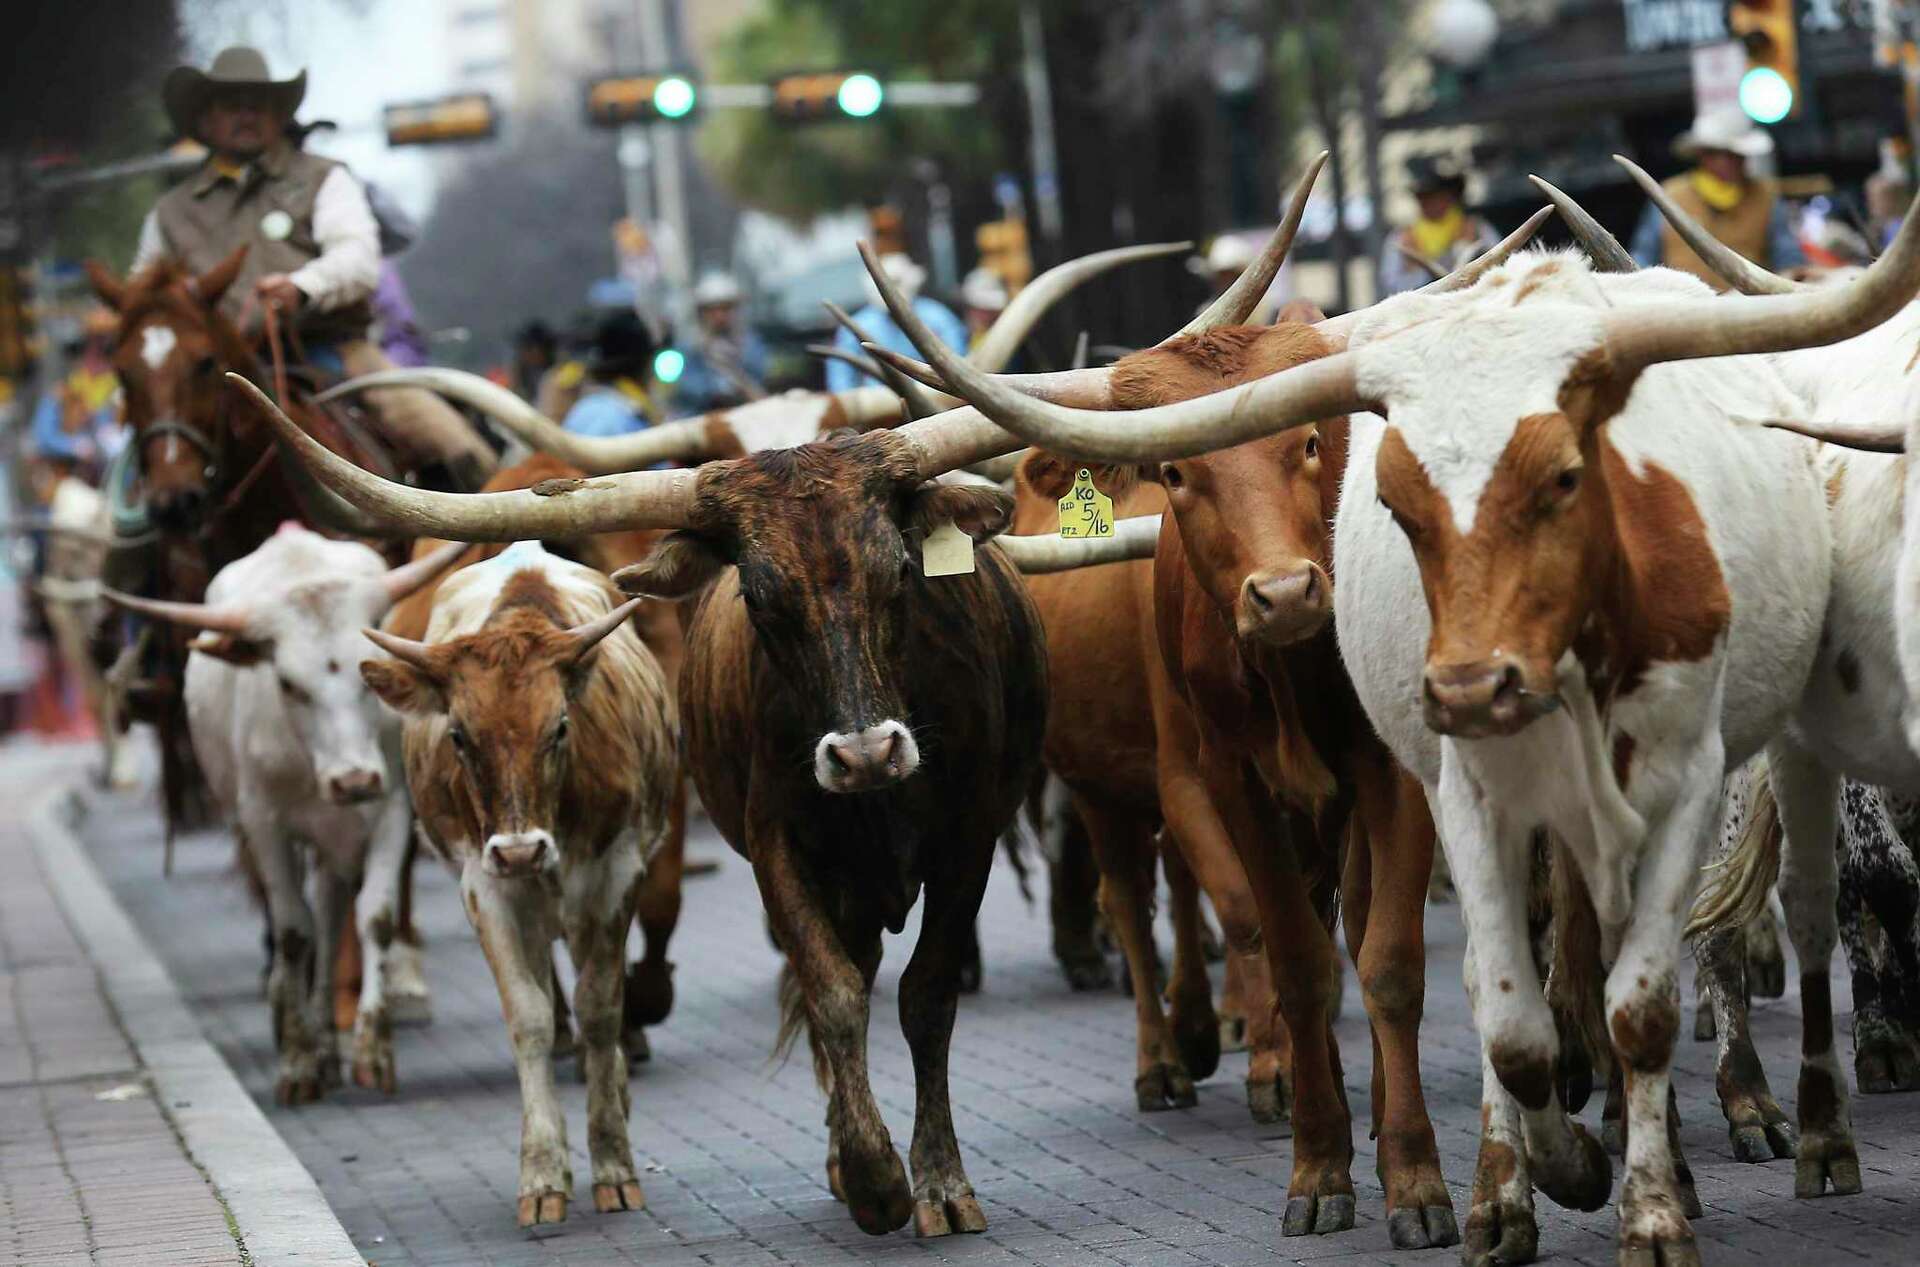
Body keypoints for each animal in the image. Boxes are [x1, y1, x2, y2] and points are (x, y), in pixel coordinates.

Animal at [104, 525, 465, 1103]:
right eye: (289, 684)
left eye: (367, 674)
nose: (353, 780)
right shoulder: (265, 823)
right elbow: (294, 931)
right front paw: (298, 1061)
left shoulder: (390, 810)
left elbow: (374, 917)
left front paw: (371, 1049)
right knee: (297, 918)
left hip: (338, 836)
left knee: (333, 911)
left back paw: (329, 1037)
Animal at [359, 541, 677, 1228]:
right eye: (457, 735)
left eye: (559, 726)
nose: (521, 849)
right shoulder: (486, 886)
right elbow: (528, 1018)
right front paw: (542, 1175)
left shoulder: (616, 874)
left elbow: (601, 1007)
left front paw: (613, 1165)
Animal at [904, 215, 1920, 1264]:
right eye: (1179, 472)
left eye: (1311, 442)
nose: (1284, 593)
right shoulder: (1224, 781)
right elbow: (1296, 954)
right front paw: (1320, 1164)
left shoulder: (1398, 782)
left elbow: (1393, 963)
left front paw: (1424, 1178)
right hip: (1120, 792)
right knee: (1152, 907)